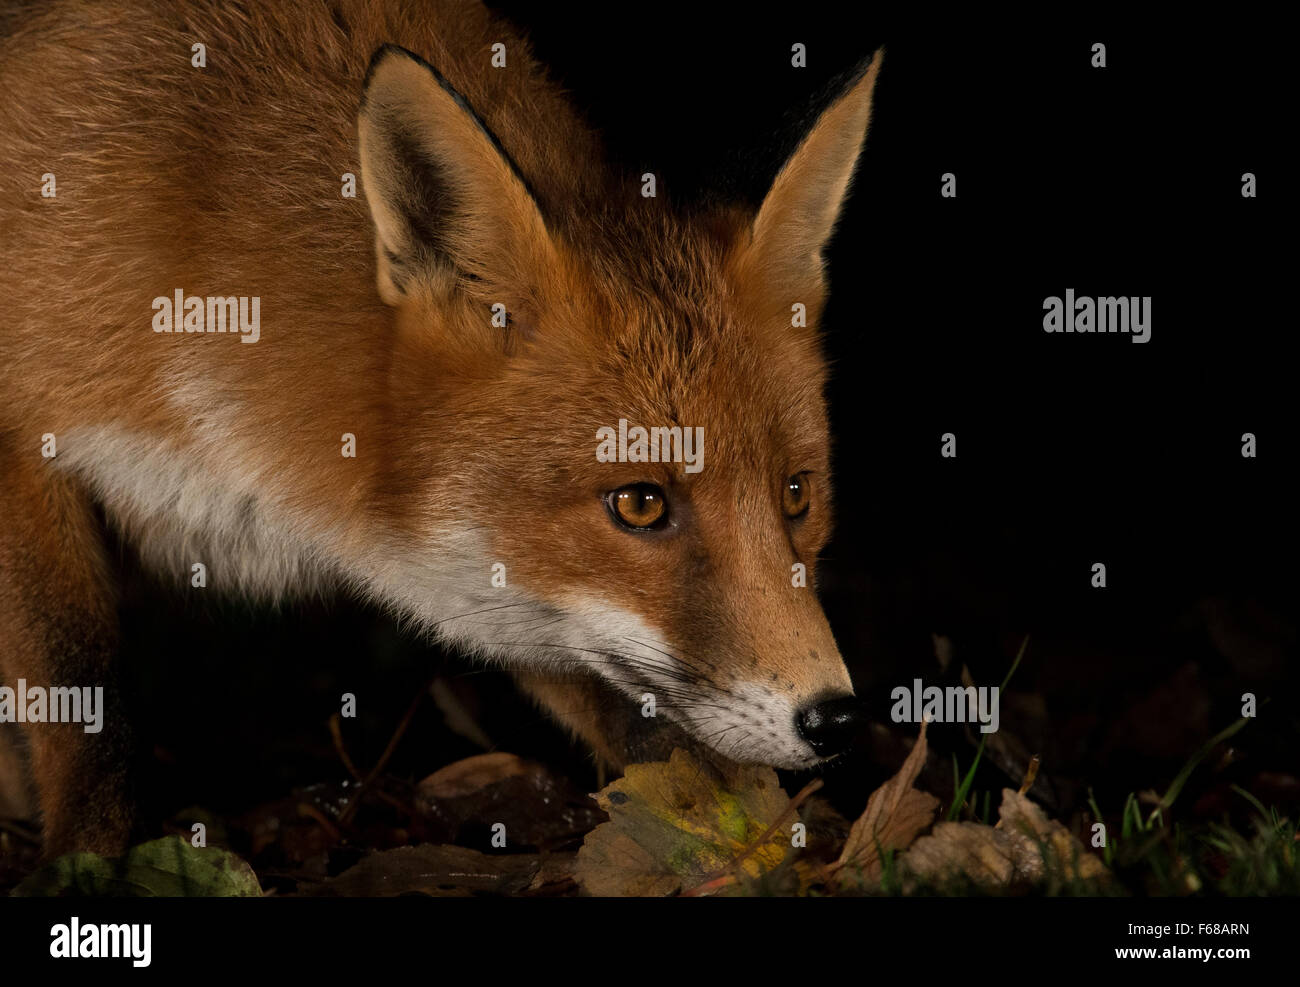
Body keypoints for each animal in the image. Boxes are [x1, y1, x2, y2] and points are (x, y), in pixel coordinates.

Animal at [0, 0, 882, 857]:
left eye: (797, 493)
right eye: (640, 503)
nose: (834, 716)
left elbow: (645, 732)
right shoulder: (22, 440)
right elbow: (84, 699)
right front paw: (86, 861)